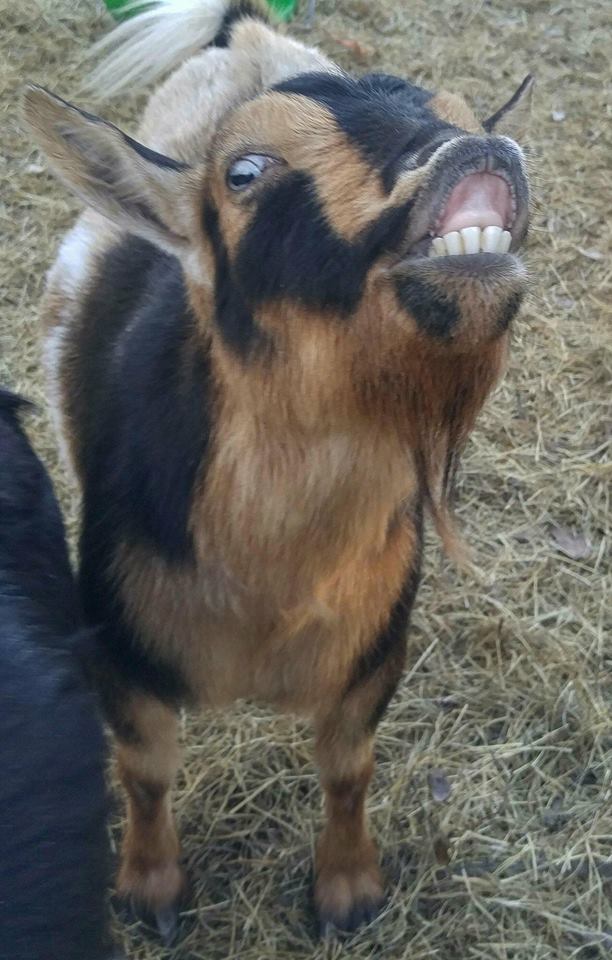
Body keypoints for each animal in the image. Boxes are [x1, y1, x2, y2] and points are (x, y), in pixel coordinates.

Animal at [24, 0, 533, 937]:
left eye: (467, 112)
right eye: (245, 171)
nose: (471, 148)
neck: (269, 584)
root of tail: (248, 33)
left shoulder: (372, 652)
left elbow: (349, 768)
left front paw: (348, 891)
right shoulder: (119, 645)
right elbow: (144, 770)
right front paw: (150, 891)